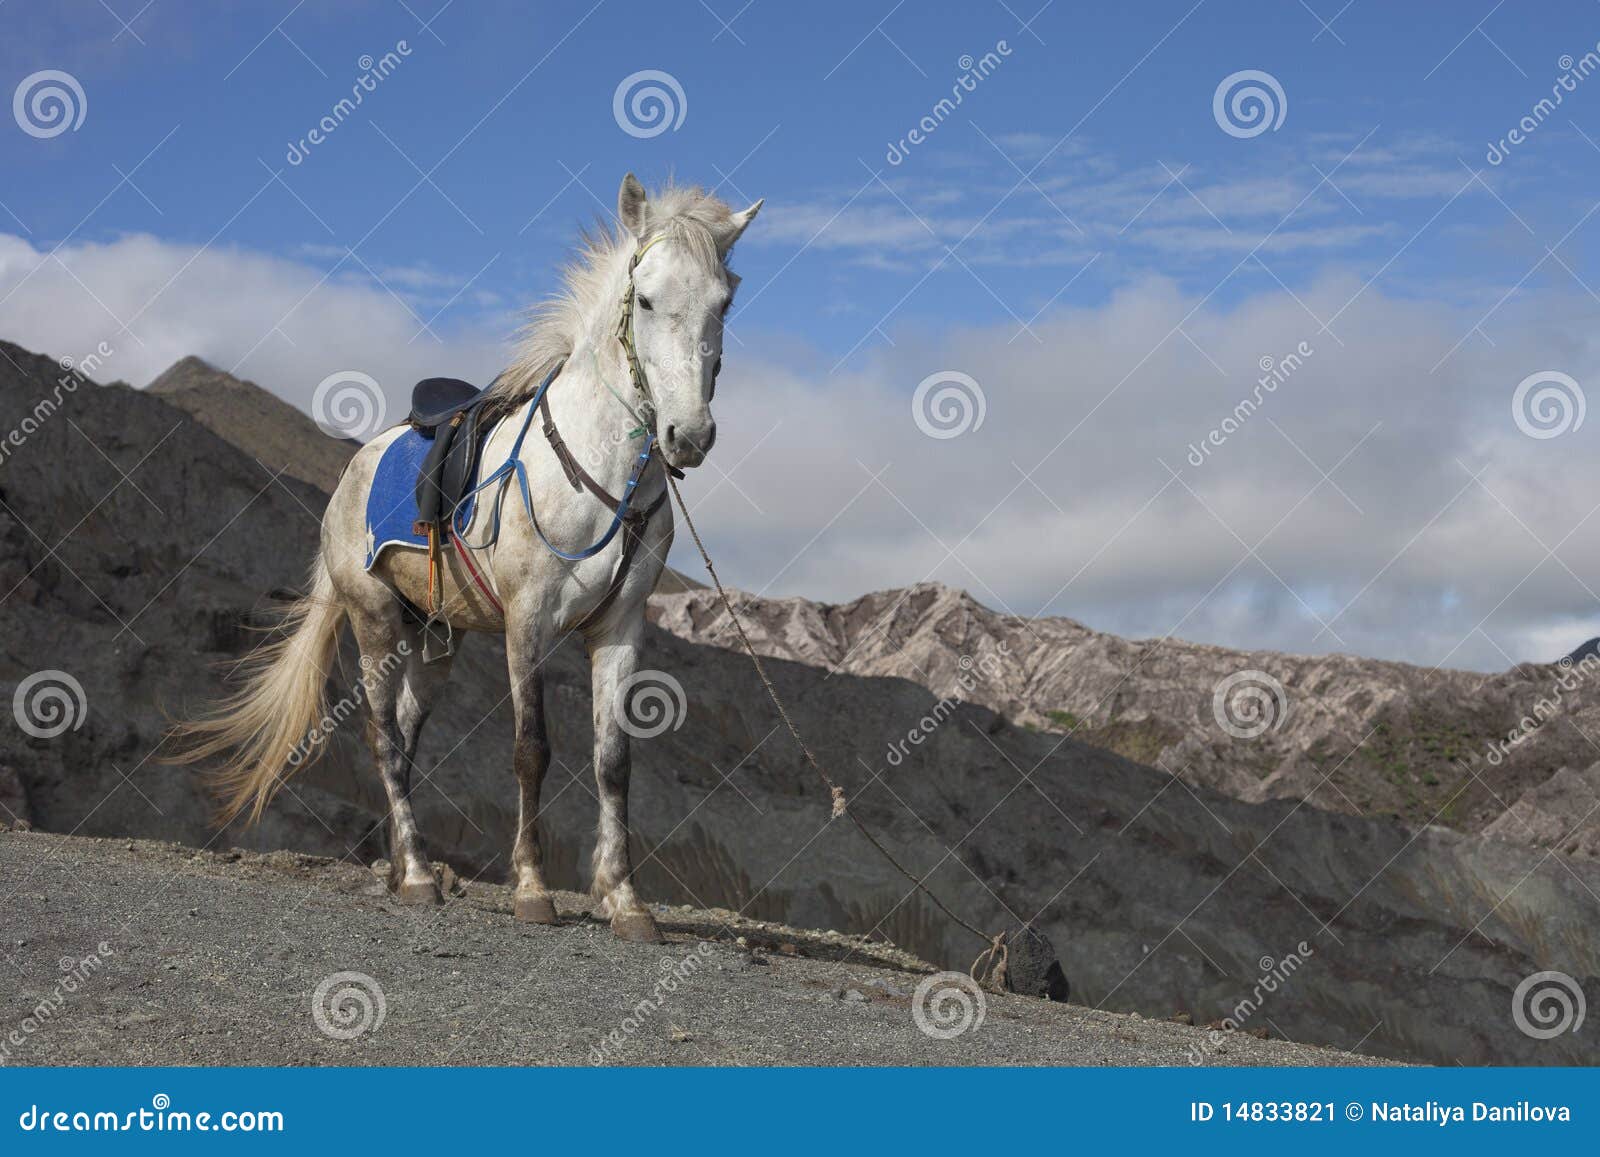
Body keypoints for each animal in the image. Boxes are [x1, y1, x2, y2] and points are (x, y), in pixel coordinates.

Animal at [170, 175, 762, 943]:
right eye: (647, 299)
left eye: (724, 302)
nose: (688, 435)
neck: (595, 469)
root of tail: (351, 472)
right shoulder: (527, 622)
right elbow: (531, 749)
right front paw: (533, 889)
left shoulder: (620, 629)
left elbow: (614, 761)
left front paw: (625, 900)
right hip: (374, 620)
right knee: (384, 736)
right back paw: (421, 876)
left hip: (435, 641)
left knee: (407, 733)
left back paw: (404, 867)